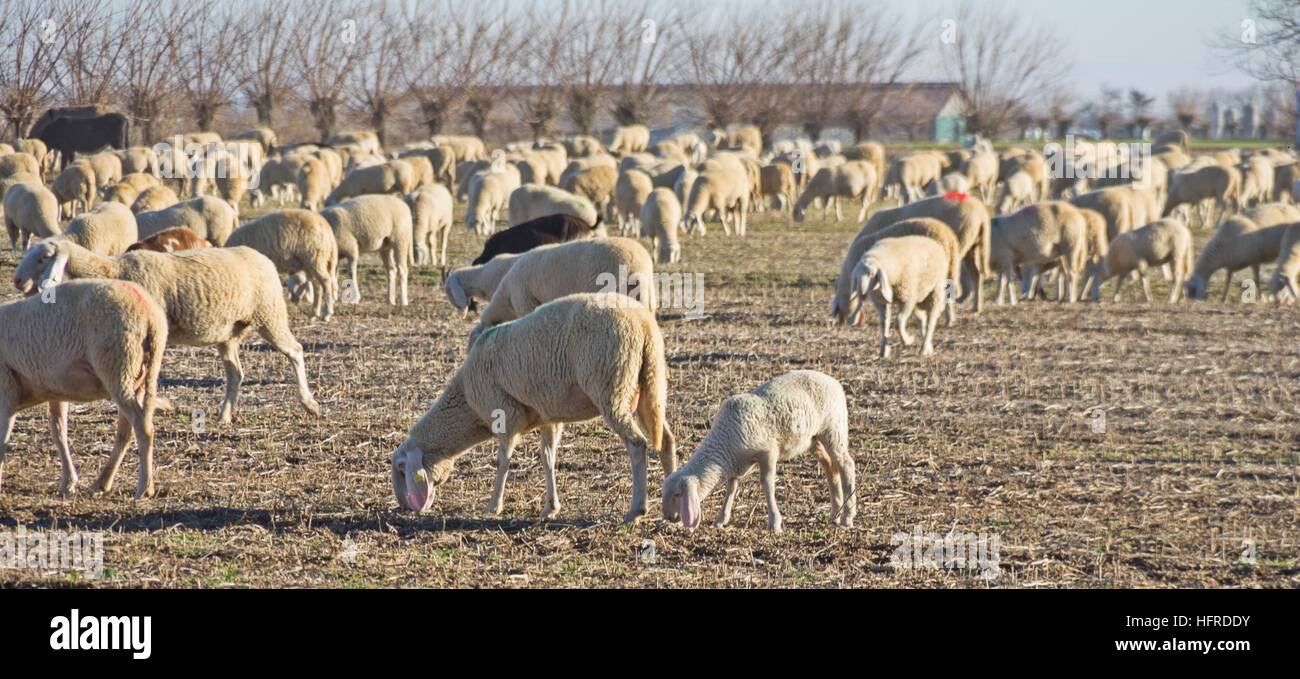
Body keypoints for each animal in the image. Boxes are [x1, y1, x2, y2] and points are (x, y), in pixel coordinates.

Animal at [0, 279, 167, 498]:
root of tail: (149, 315)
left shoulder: (6, 389)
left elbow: (3, 438)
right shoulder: (56, 391)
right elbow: (59, 432)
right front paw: (68, 482)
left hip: (117, 366)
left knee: (143, 428)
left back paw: (144, 489)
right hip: (138, 376)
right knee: (126, 430)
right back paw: (102, 483)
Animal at [13, 240, 320, 425]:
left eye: (43, 258)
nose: (16, 280)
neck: (114, 270)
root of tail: (262, 258)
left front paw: (159, 404)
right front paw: (158, 404)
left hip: (269, 315)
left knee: (295, 351)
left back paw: (309, 403)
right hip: (229, 332)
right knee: (236, 373)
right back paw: (224, 415)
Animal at [391, 293, 675, 522]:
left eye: (402, 469)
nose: (405, 508)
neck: (468, 403)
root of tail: (643, 323)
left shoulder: (505, 414)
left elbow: (503, 461)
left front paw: (493, 506)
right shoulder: (548, 417)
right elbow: (548, 458)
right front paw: (551, 507)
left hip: (611, 387)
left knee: (637, 444)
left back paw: (636, 510)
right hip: (650, 386)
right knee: (667, 440)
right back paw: (671, 506)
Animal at [661, 370, 852, 532]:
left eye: (677, 494)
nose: (668, 517)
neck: (724, 440)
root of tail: (833, 381)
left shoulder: (768, 452)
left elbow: (767, 484)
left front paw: (774, 523)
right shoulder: (737, 463)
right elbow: (731, 487)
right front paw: (721, 519)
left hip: (833, 427)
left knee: (846, 465)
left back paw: (847, 517)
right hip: (813, 438)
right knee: (830, 467)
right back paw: (835, 513)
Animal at [834, 193, 992, 322]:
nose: (840, 320)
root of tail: (982, 214)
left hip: (960, 242)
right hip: (971, 245)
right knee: (976, 274)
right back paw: (975, 307)